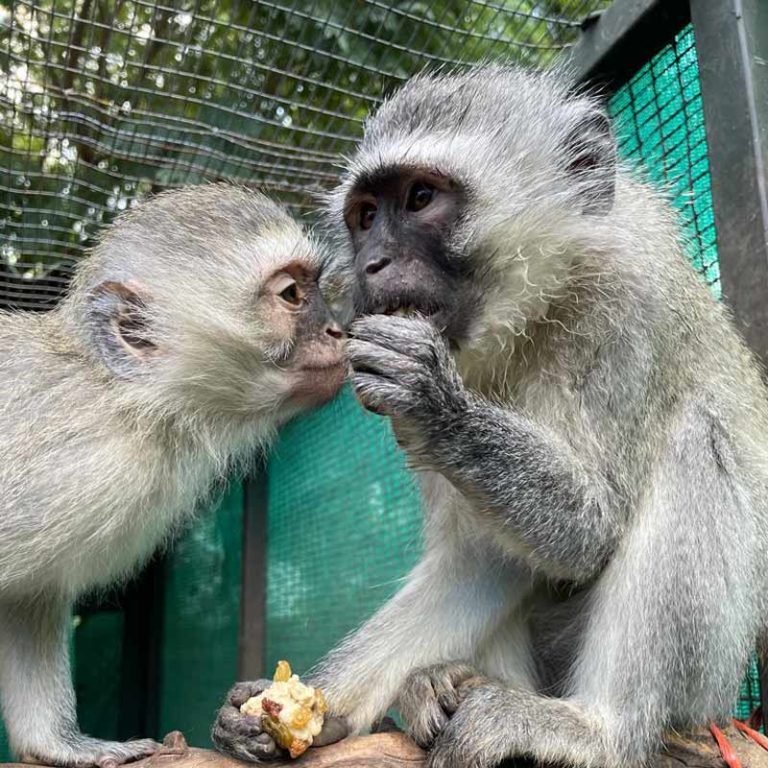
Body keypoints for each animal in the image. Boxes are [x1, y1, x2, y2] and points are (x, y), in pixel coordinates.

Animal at [212, 65, 768, 768]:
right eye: (365, 217)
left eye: (420, 197)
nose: (369, 264)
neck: (532, 317)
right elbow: (482, 561)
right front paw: (311, 709)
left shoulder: (628, 305)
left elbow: (592, 530)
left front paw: (434, 400)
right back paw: (441, 684)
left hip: (708, 682)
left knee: (696, 440)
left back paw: (597, 729)